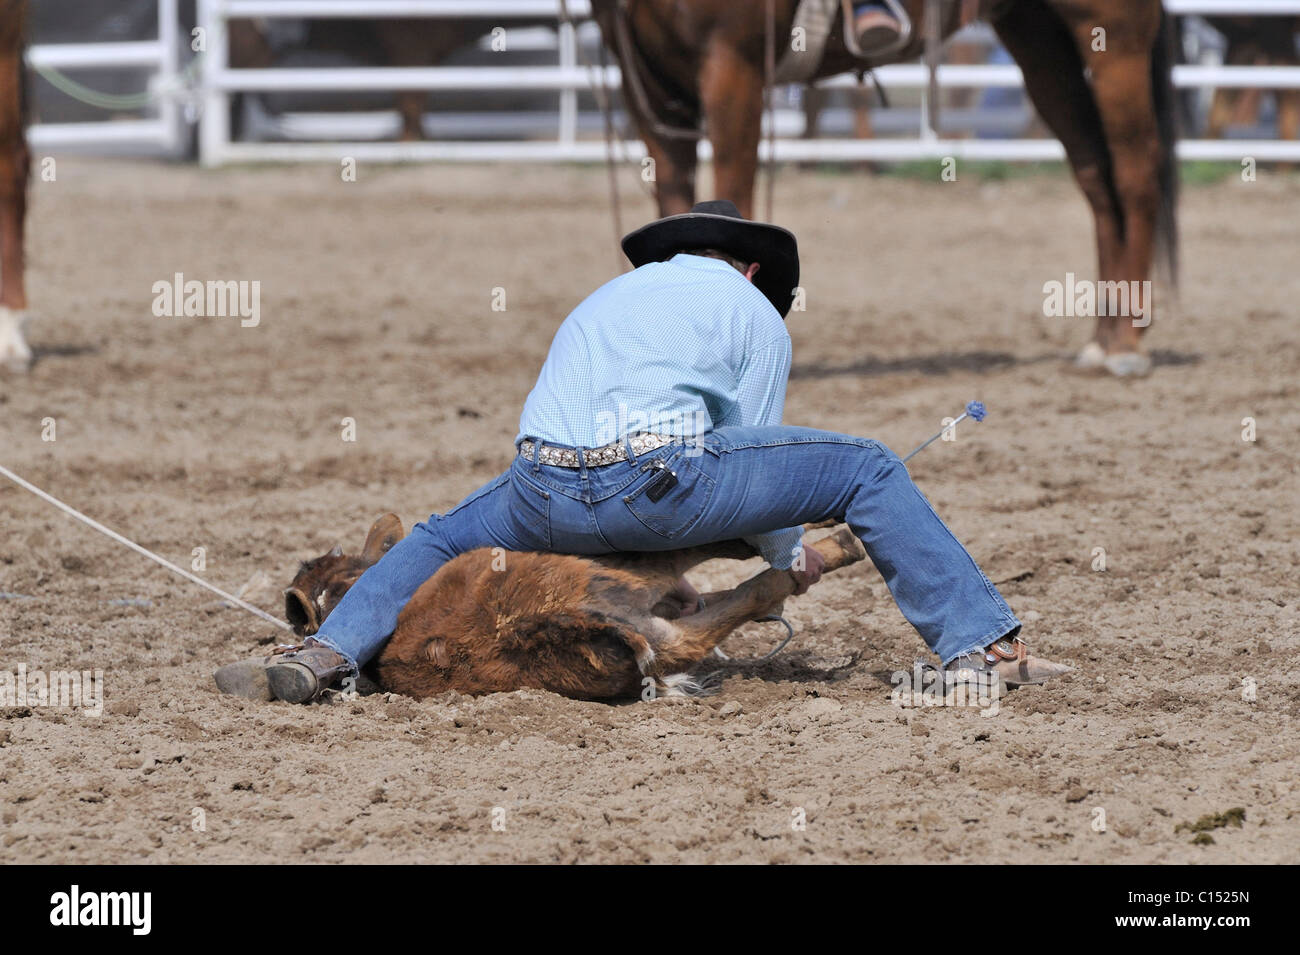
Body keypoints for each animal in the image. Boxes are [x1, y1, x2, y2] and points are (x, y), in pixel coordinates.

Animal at [589, 0, 1178, 377]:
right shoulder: (648, 84)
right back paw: (1104, 337)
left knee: (1135, 171)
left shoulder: (733, 64)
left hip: (1112, 30)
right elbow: (675, 201)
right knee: (1097, 176)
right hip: (1036, 34)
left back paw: (1128, 342)